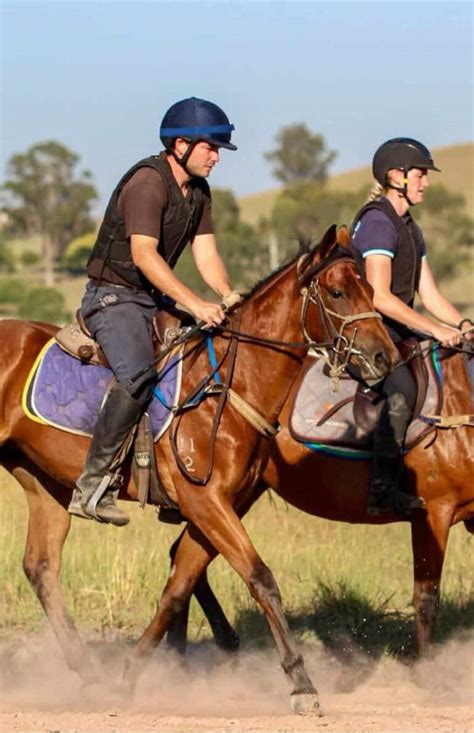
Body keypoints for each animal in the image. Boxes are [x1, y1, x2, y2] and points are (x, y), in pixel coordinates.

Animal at [0, 225, 397, 714]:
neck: (230, 384)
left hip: (45, 483)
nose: (385, 358)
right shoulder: (205, 502)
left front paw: (129, 678)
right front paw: (301, 683)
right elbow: (260, 578)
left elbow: (177, 588)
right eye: (338, 292)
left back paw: (90, 676)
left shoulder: (219, 508)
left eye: (371, 291)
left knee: (41, 567)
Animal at [165, 345, 474, 658]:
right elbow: (426, 599)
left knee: (184, 557)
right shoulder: (434, 513)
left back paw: (183, 649)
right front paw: (424, 664)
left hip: (237, 493)